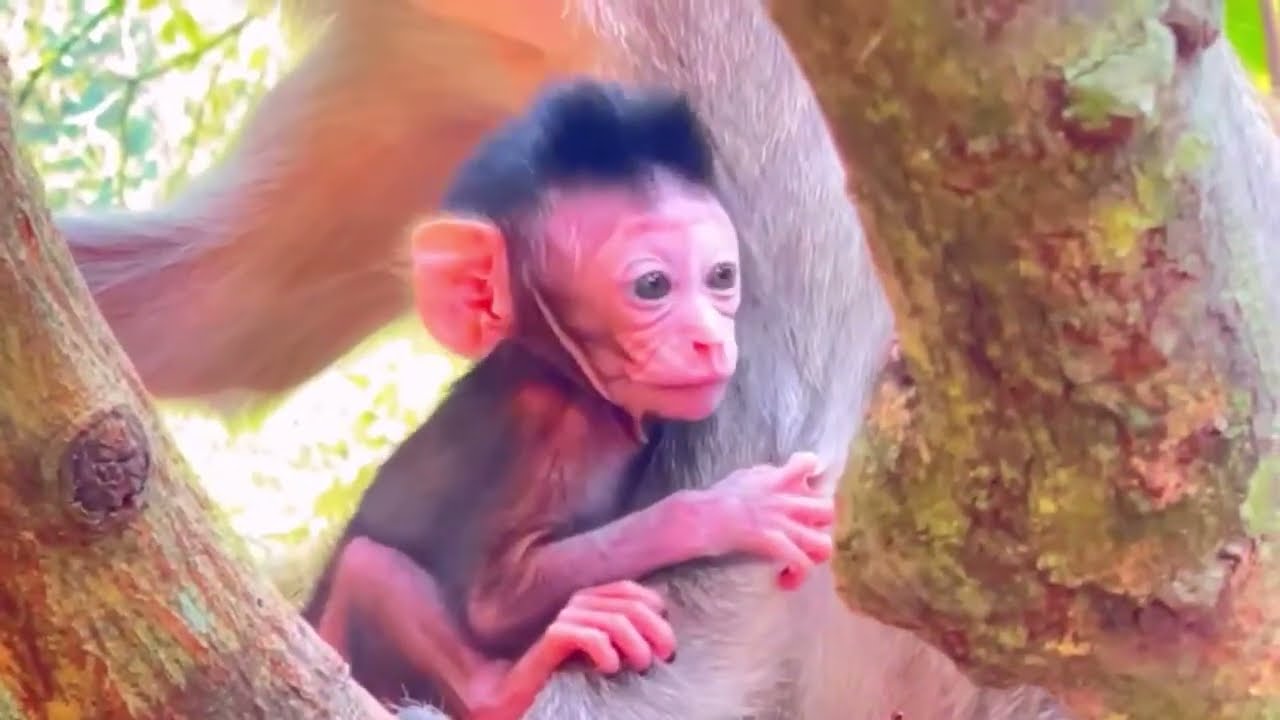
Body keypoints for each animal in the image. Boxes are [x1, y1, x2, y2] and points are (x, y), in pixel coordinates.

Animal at [299, 79, 836, 719]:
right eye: (652, 286)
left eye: (721, 277)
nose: (710, 339)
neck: (571, 378)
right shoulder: (554, 426)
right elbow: (492, 603)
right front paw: (730, 513)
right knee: (367, 565)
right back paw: (503, 692)